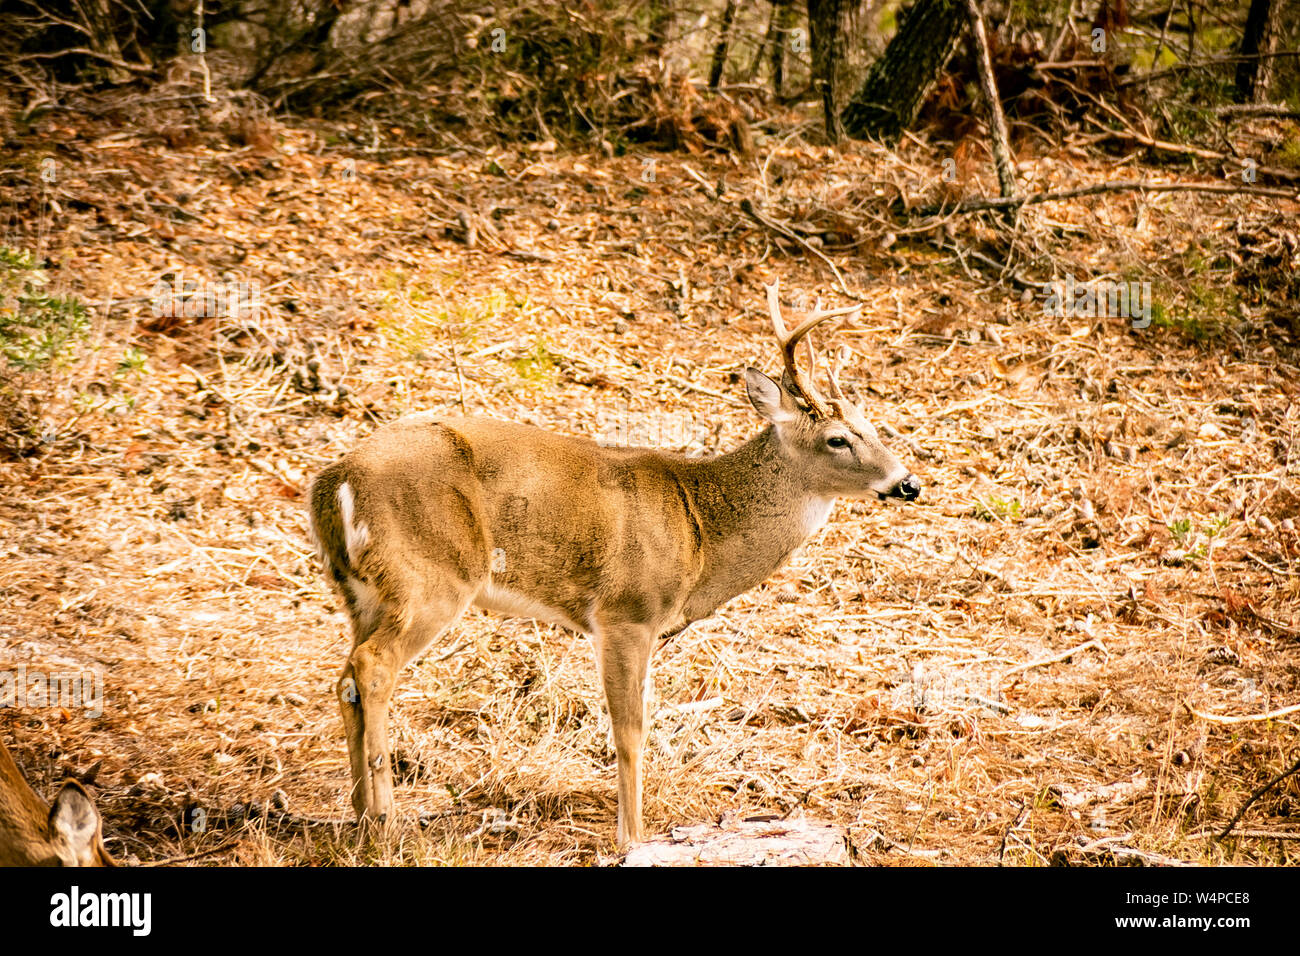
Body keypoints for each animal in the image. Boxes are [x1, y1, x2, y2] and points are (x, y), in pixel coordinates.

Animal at [309, 279, 921, 847]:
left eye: (873, 426)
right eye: (838, 439)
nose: (907, 482)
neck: (701, 530)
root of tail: (335, 478)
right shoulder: (627, 611)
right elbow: (630, 730)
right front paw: (632, 837)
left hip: (364, 591)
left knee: (346, 677)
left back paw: (359, 817)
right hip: (432, 576)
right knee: (374, 665)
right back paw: (385, 821)